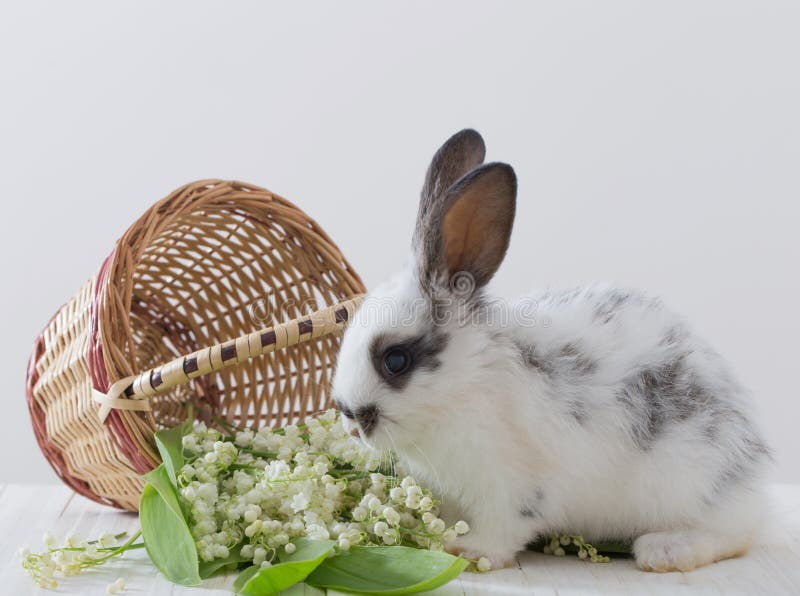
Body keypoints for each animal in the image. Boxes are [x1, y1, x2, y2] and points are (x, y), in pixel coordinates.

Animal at [330, 129, 770, 572]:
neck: (466, 383)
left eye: (395, 360)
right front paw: (435, 538)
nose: (350, 421)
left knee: (734, 536)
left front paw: (469, 552)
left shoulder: (515, 486)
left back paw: (664, 551)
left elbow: (505, 528)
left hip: (693, 484)